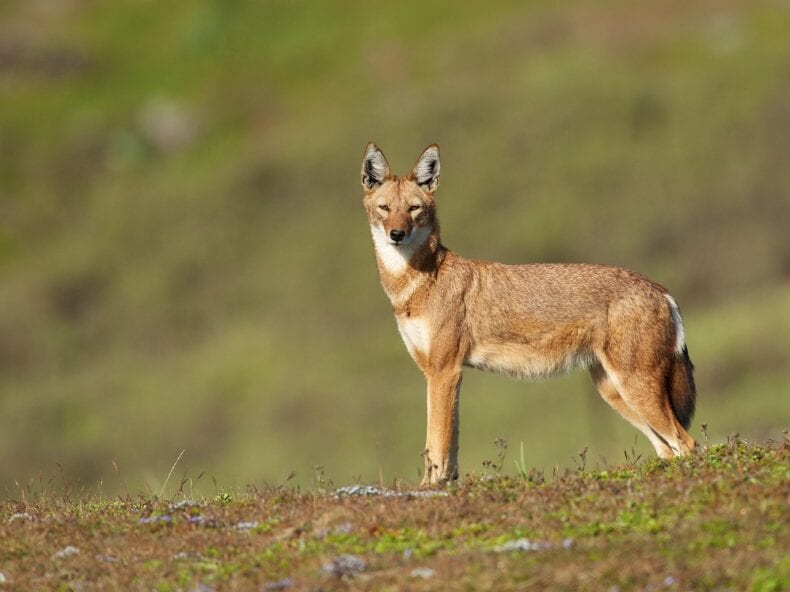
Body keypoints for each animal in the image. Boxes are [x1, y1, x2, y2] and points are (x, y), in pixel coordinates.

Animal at [361, 143, 697, 486]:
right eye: (385, 208)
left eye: (414, 209)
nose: (397, 234)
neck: (417, 283)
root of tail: (662, 290)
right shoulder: (441, 373)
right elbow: (447, 446)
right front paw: (443, 486)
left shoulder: (444, 372)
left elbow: (436, 444)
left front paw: (430, 488)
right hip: (615, 394)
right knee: (667, 449)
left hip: (635, 390)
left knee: (687, 443)